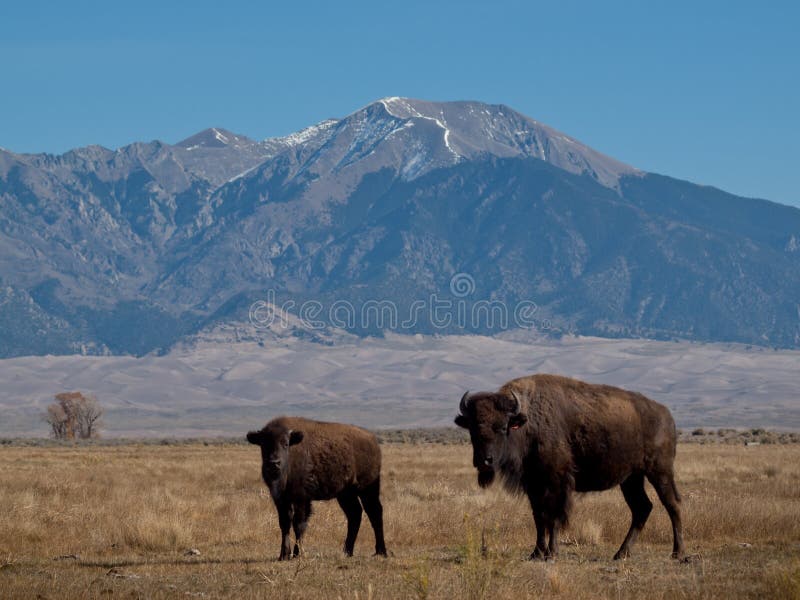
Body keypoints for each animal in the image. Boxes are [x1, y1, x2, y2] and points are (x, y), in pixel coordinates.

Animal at [247, 416, 387, 560]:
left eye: (285, 444)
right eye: (264, 444)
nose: (274, 463)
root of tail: (373, 441)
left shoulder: (301, 499)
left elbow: (299, 524)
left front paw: (297, 554)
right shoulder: (280, 499)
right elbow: (284, 523)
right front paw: (283, 555)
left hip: (367, 489)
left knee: (374, 512)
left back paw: (381, 551)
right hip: (346, 494)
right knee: (355, 514)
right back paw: (347, 551)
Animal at [455, 374, 685, 560]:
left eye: (502, 427)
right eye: (473, 429)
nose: (485, 461)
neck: (527, 423)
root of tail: (667, 415)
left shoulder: (557, 484)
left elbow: (554, 517)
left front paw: (552, 553)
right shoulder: (534, 485)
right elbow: (539, 518)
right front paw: (536, 553)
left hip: (660, 472)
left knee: (672, 505)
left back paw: (678, 553)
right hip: (631, 479)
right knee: (642, 508)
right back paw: (621, 554)